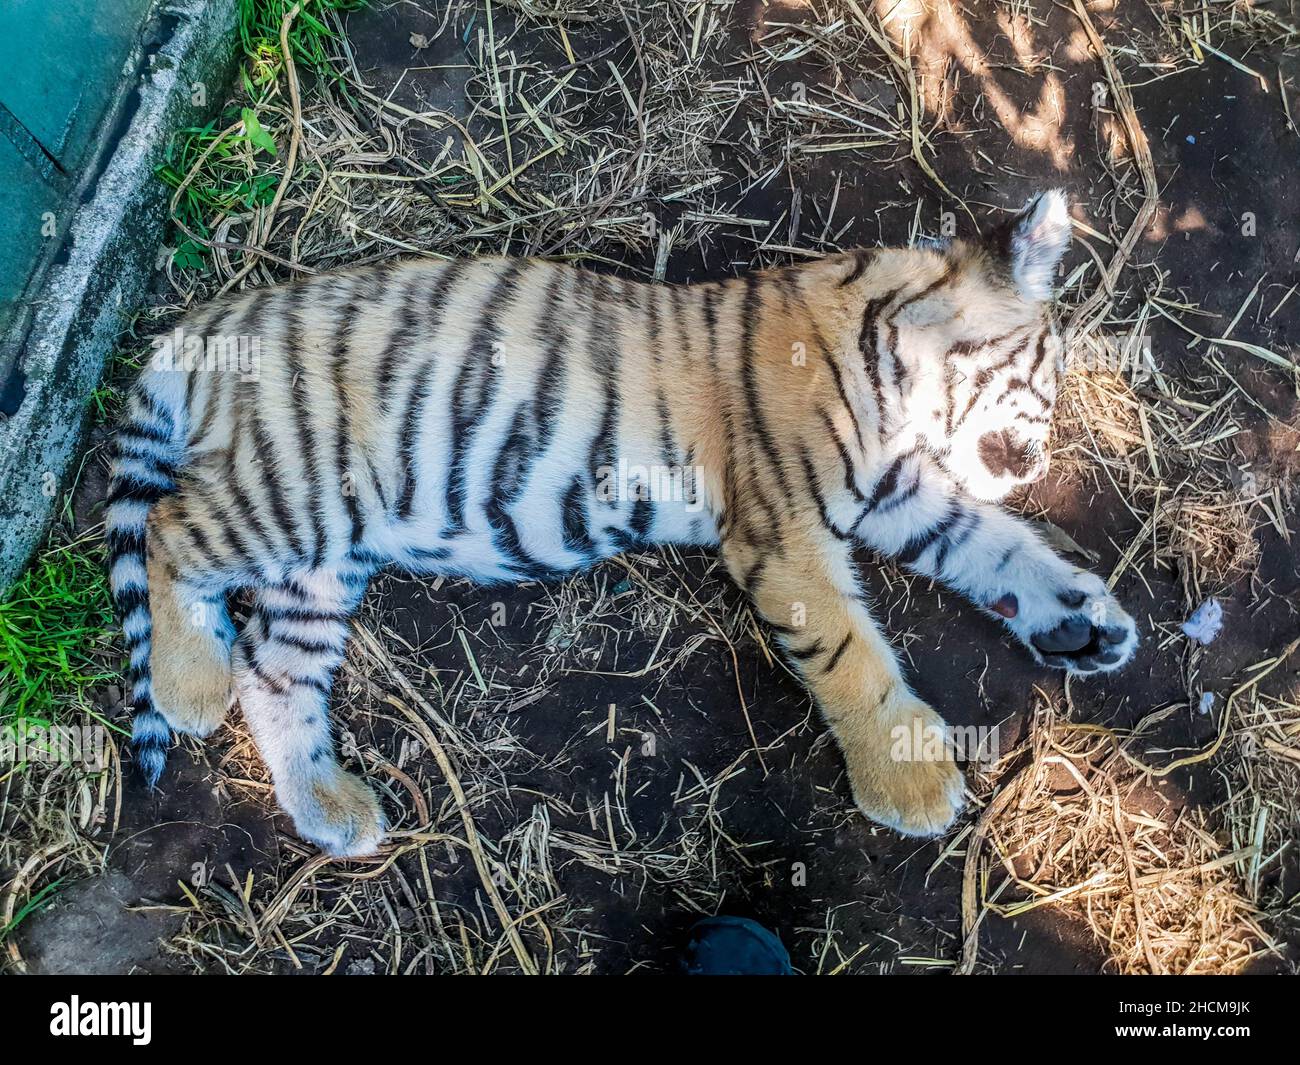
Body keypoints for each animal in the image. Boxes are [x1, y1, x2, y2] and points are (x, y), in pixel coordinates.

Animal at [105, 188, 1137, 857]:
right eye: (1048, 373)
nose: (1038, 462)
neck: (895, 367)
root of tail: (216, 318)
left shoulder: (898, 494)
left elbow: (995, 545)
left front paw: (1086, 625)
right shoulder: (784, 534)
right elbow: (852, 652)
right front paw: (910, 780)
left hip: (325, 555)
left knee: (274, 671)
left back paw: (332, 808)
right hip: (293, 485)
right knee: (171, 531)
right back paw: (188, 687)